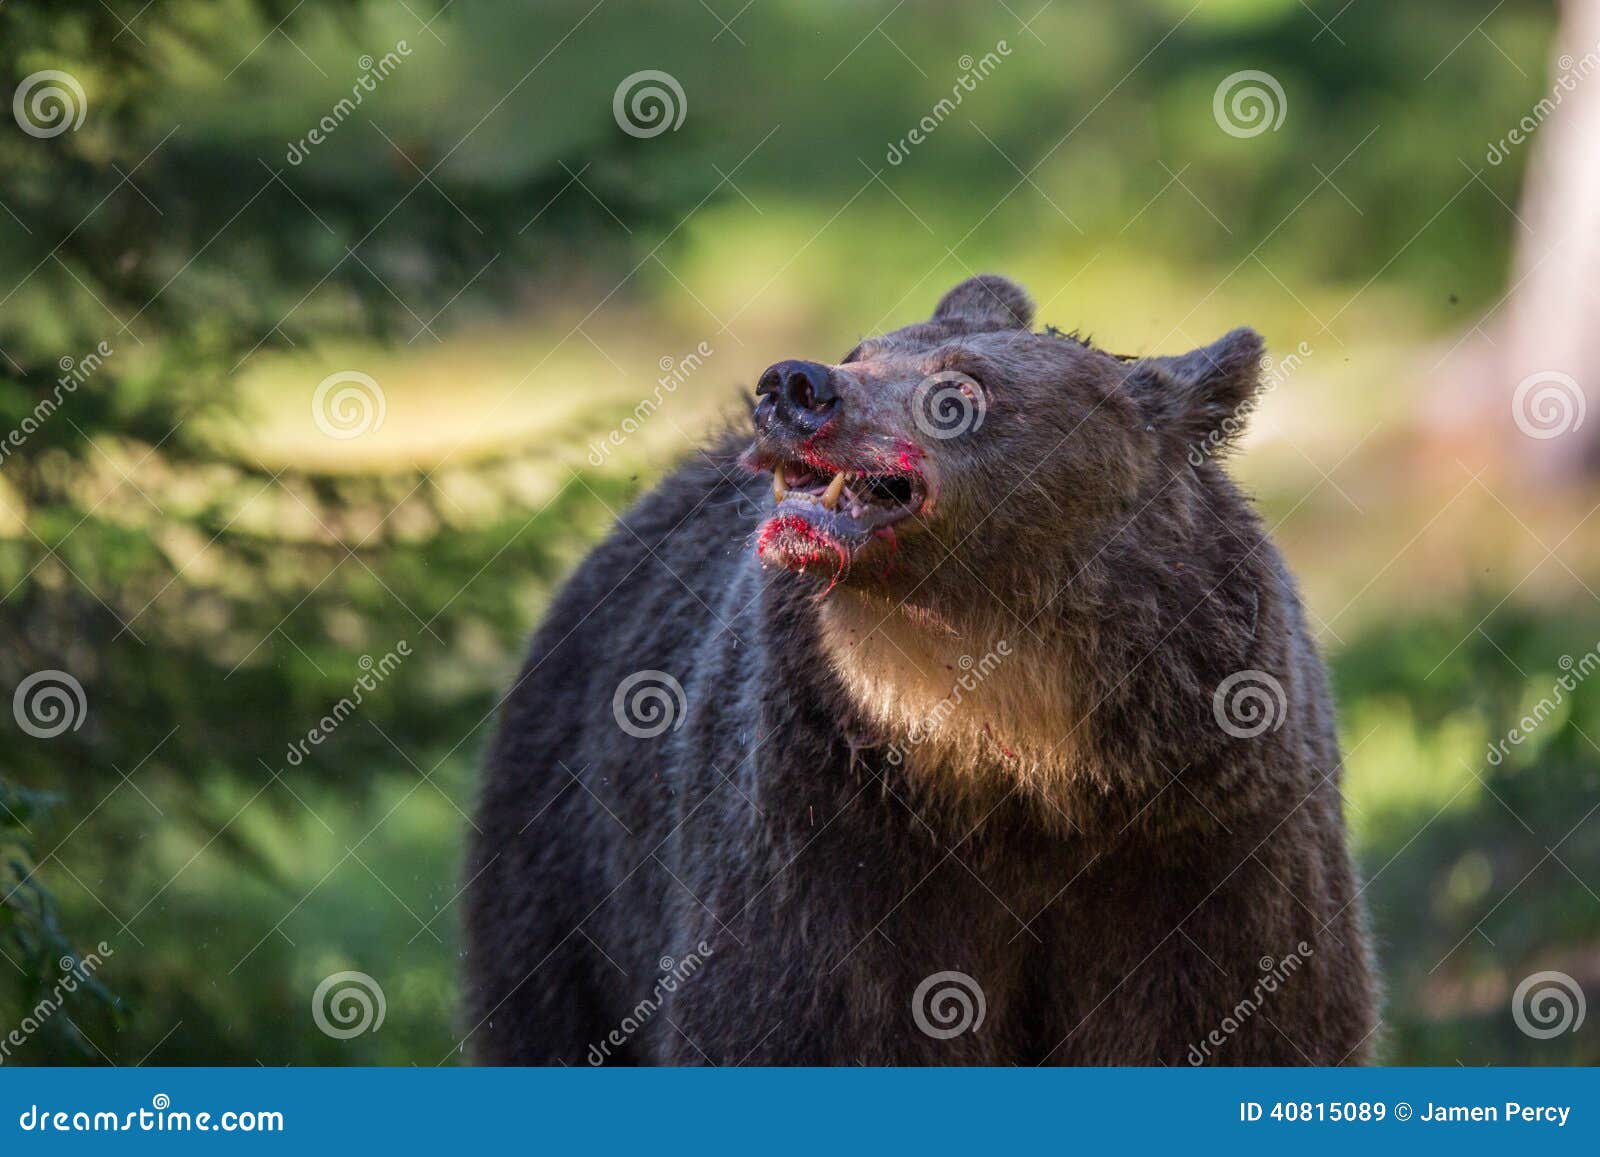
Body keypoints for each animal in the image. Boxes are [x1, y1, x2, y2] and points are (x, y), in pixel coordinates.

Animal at [462, 274, 1378, 1065]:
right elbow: (806, 1020)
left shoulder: (1204, 835)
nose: (793, 385)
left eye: (959, 389)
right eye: (862, 347)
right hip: (565, 860)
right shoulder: (836, 831)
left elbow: (1224, 1019)